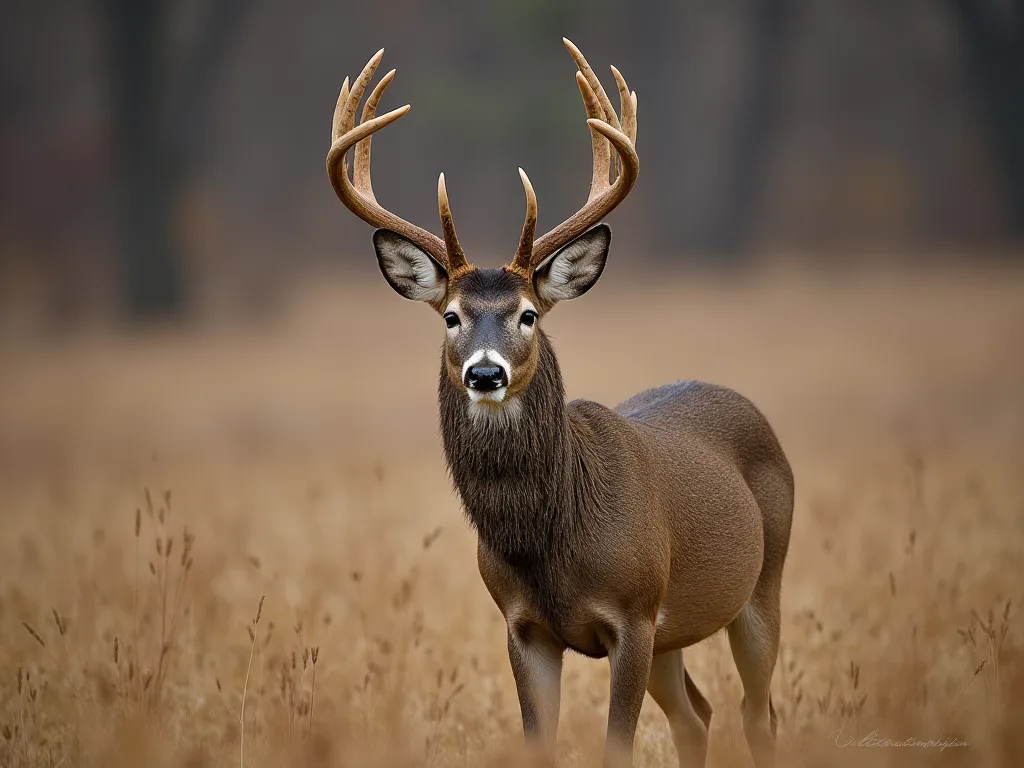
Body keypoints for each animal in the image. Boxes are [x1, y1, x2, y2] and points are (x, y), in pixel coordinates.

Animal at [326, 40, 794, 768]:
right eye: (452, 317)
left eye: (527, 314)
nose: (484, 373)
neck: (552, 544)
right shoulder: (523, 625)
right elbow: (536, 743)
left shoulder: (634, 612)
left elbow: (617, 746)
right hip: (675, 632)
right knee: (699, 715)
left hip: (761, 582)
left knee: (757, 713)